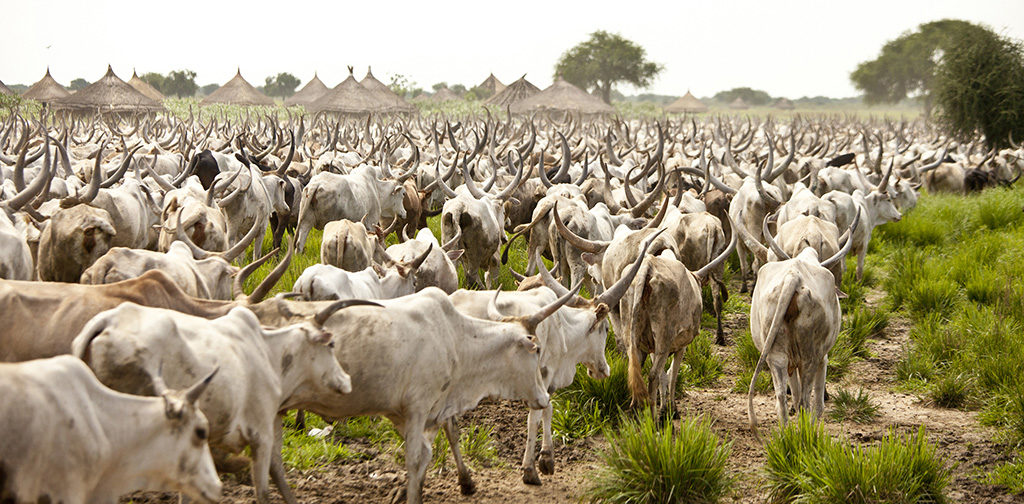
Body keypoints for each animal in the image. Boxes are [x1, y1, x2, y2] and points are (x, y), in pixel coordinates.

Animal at [71, 301, 366, 504]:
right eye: (331, 345)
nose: (347, 380)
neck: (269, 353)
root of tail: (109, 320)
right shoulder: (260, 434)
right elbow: (265, 488)